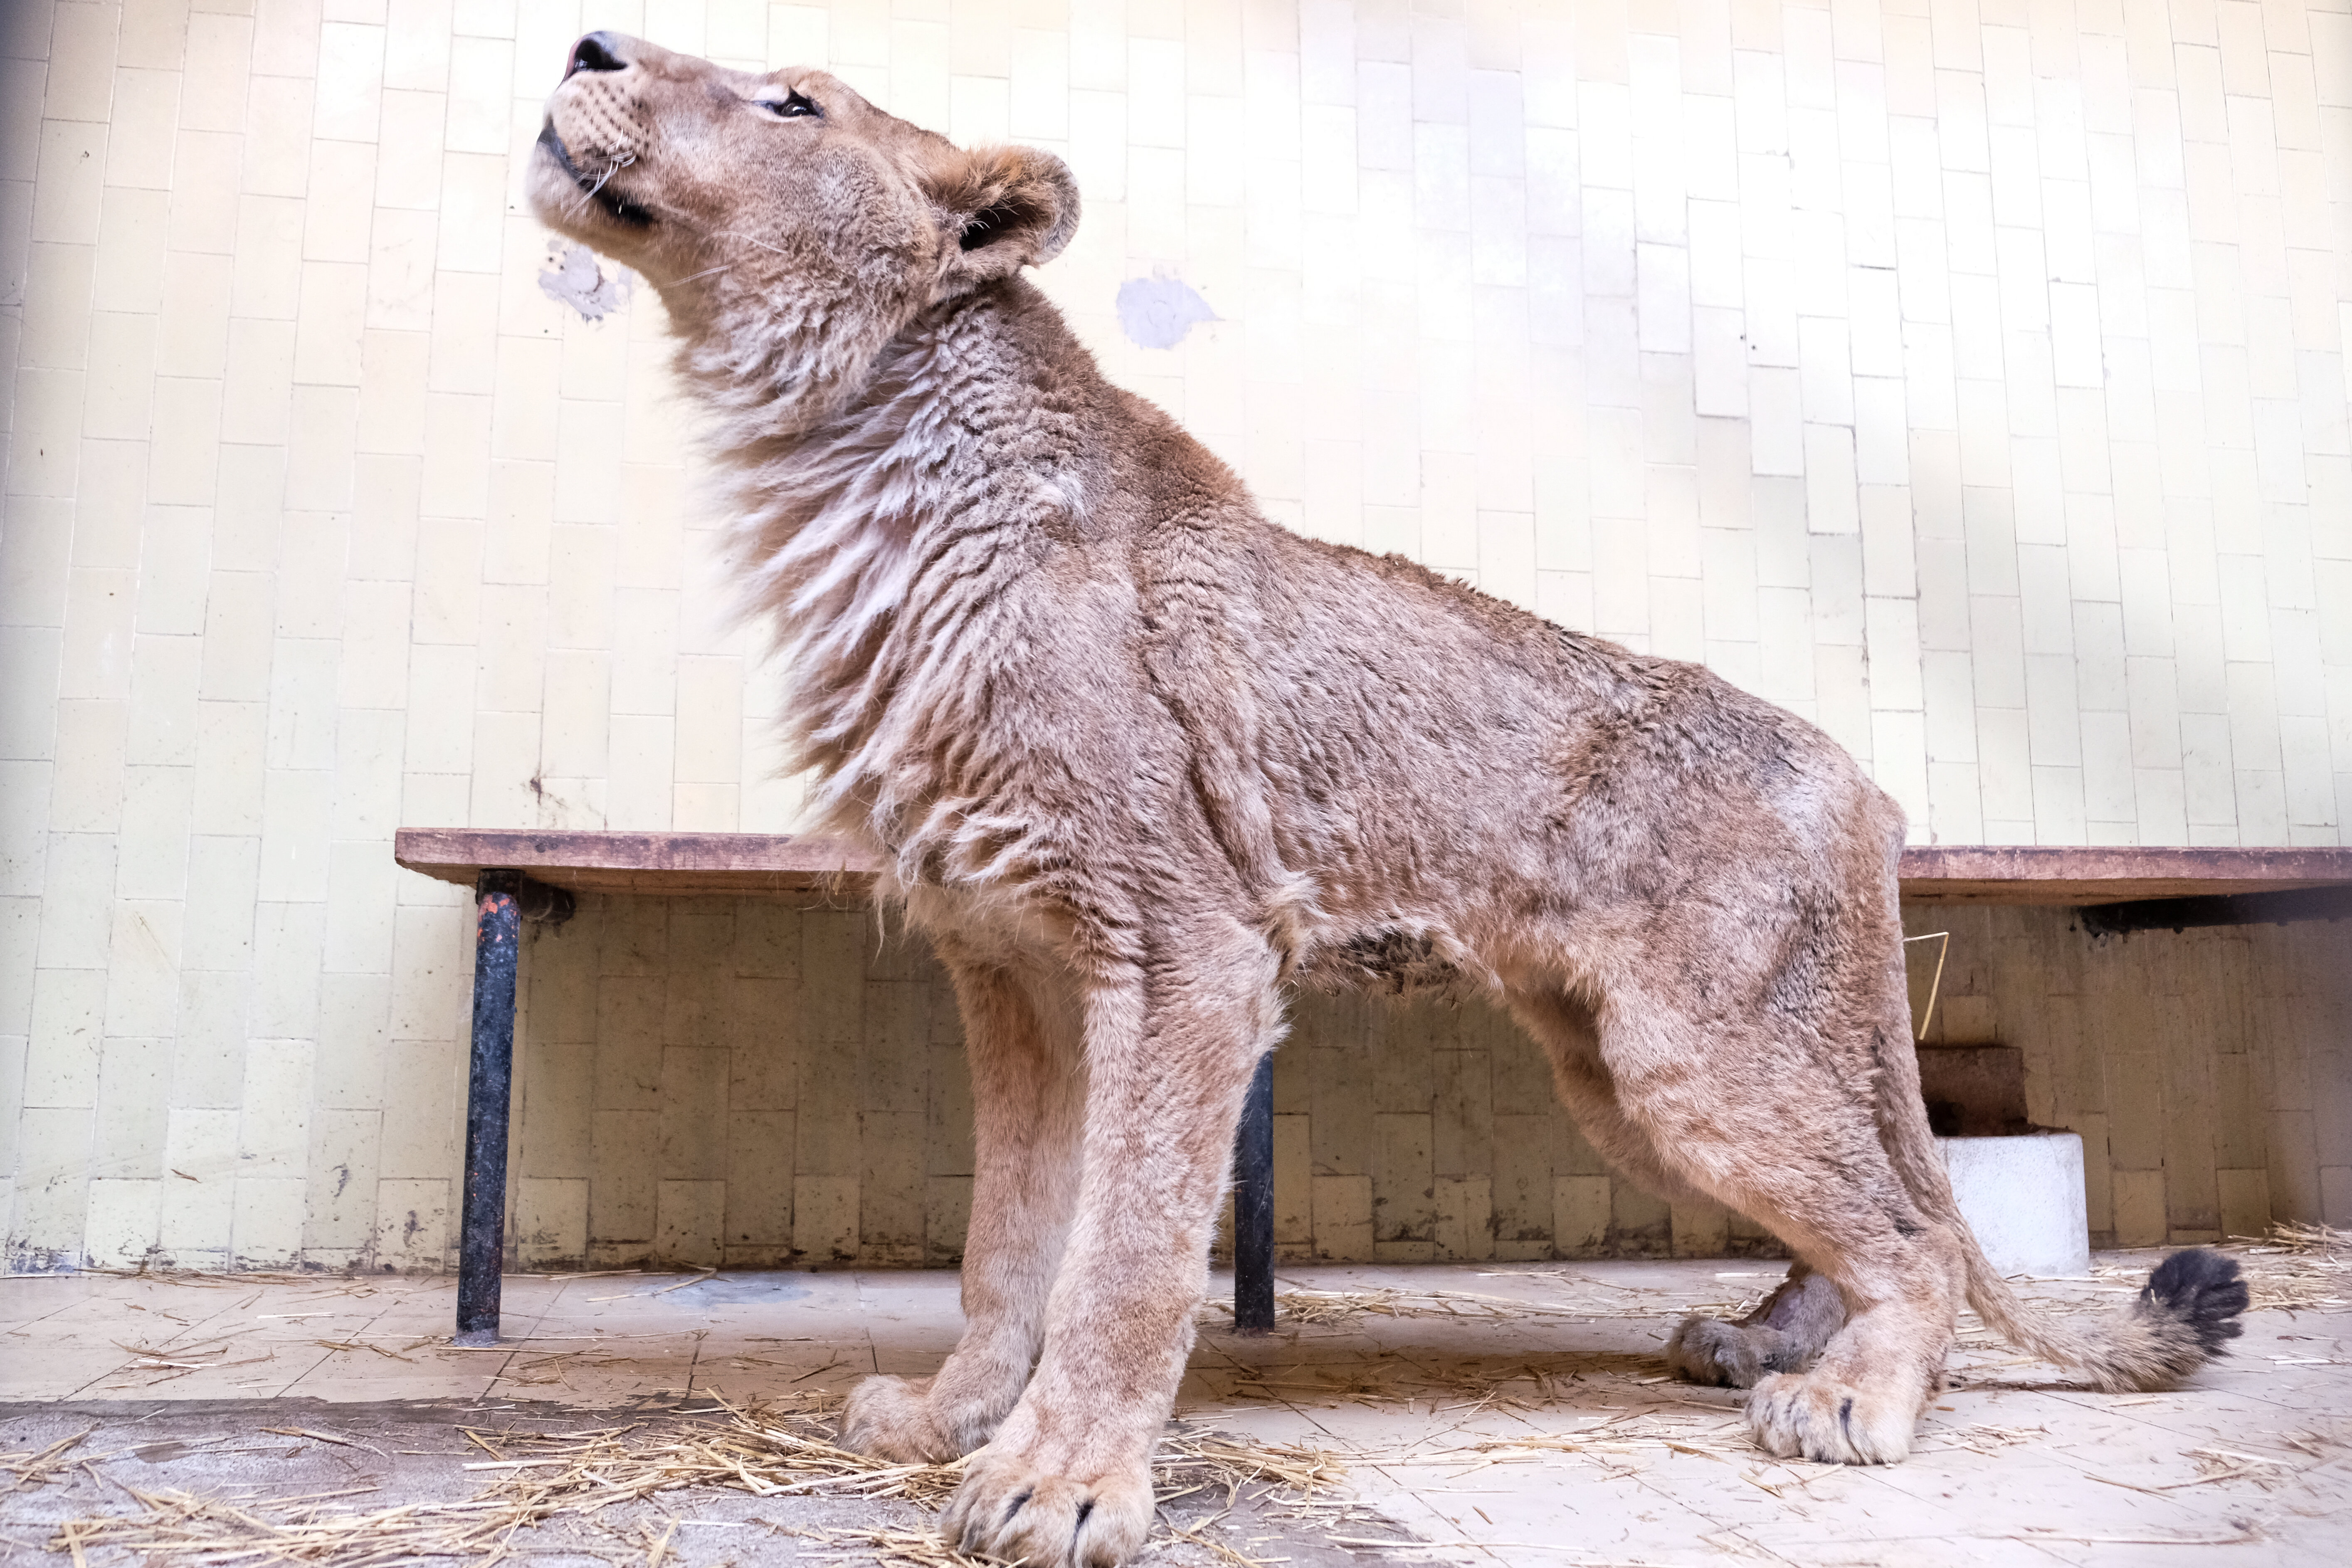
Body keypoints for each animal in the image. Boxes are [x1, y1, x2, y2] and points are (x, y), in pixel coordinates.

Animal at [529, 35, 2249, 1567]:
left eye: (791, 102)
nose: (587, 43)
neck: (838, 450)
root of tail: (1859, 772)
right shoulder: (1009, 965)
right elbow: (1007, 1236)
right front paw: (953, 1415)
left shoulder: (1183, 947)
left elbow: (1124, 1250)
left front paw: (1061, 1486)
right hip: (1622, 1082)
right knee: (1868, 1211)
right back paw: (1765, 1342)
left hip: (1692, 1057)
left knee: (1911, 1232)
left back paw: (1846, 1398)